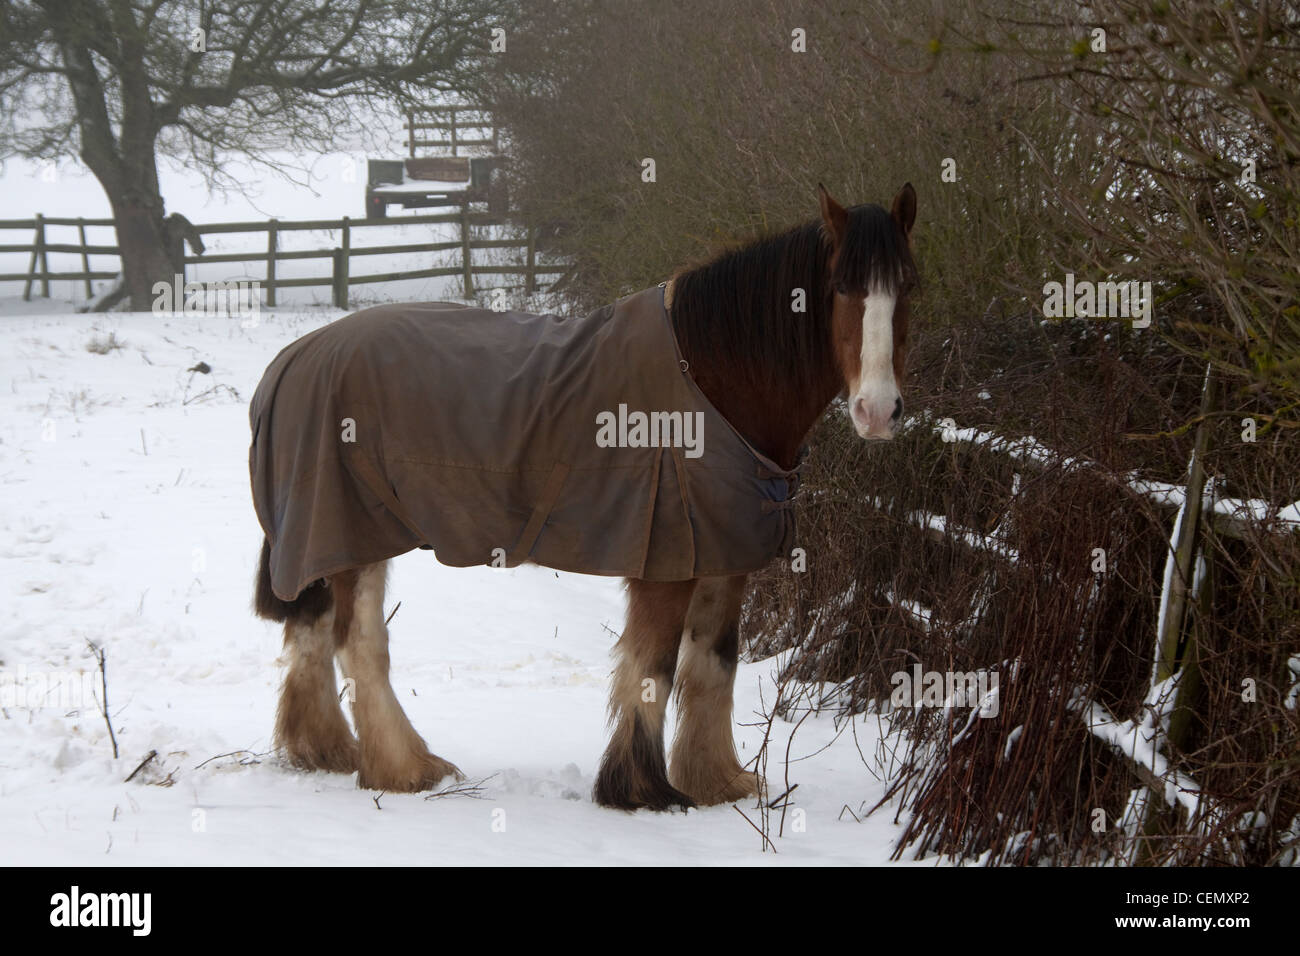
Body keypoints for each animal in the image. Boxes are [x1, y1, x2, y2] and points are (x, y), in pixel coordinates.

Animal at [249, 183, 917, 811]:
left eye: (908, 285)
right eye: (841, 287)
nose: (878, 411)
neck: (709, 383)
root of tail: (294, 358)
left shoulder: (725, 557)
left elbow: (714, 664)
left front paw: (714, 782)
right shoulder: (667, 559)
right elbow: (654, 668)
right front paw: (641, 790)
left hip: (324, 542)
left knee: (311, 631)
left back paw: (327, 749)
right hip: (353, 537)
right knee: (359, 644)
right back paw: (405, 768)